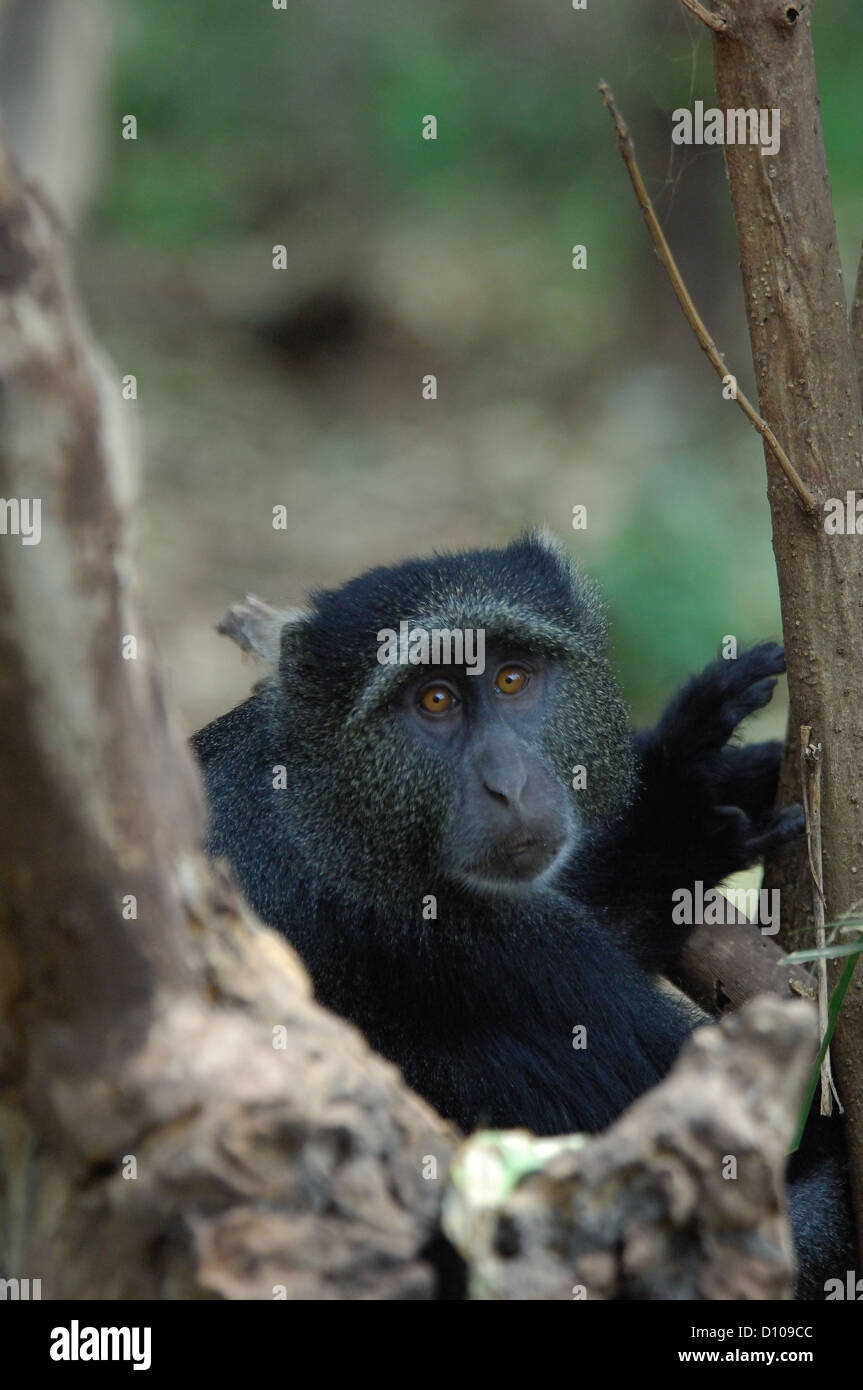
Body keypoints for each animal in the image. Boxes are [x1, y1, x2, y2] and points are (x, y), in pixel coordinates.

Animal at [191, 529, 854, 1298]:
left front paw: (679, 798)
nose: (507, 784)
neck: (327, 810)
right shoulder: (497, 950)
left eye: (512, 679)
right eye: (435, 698)